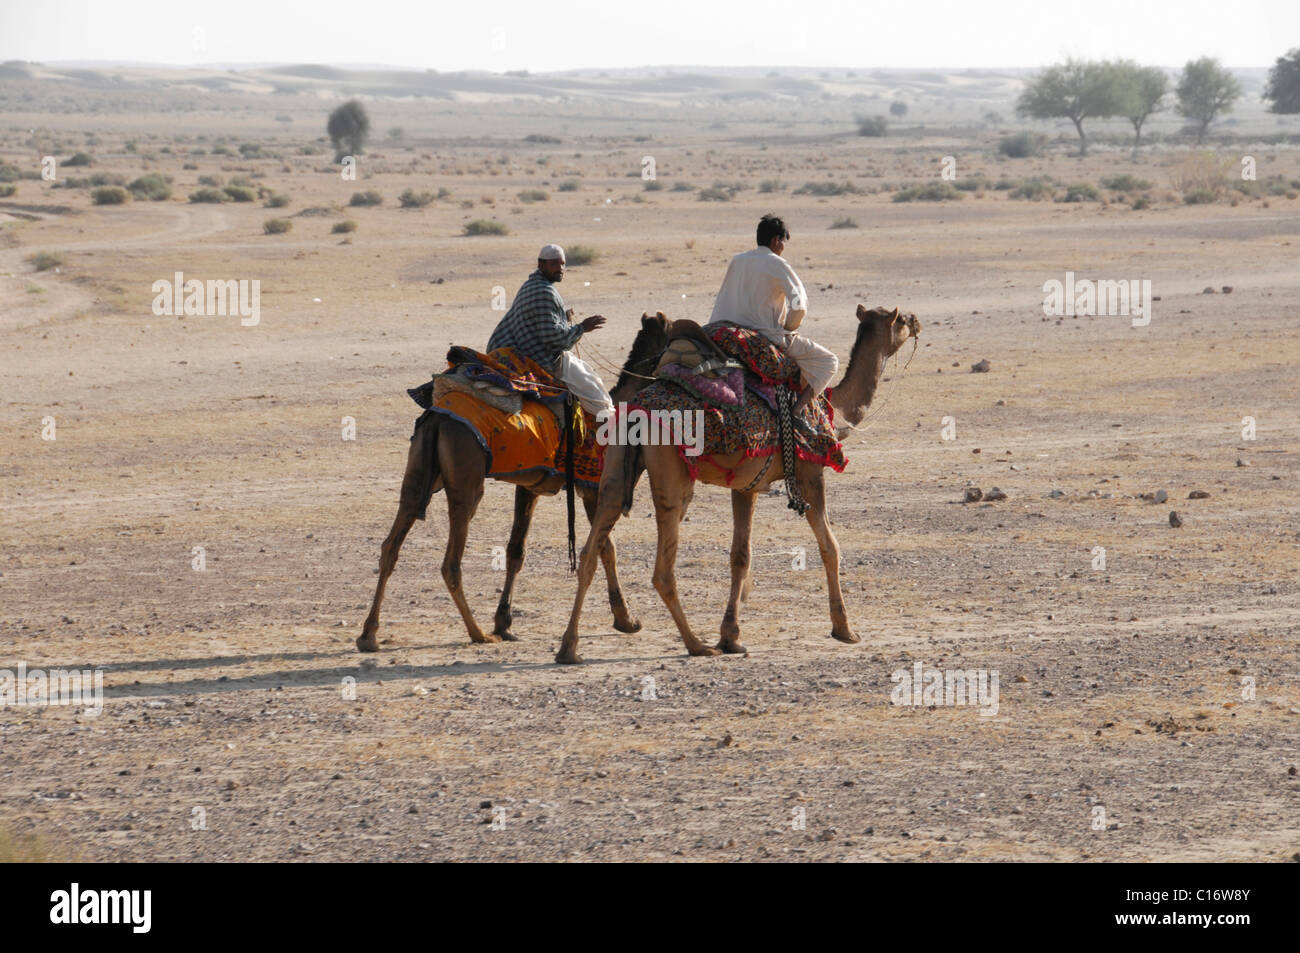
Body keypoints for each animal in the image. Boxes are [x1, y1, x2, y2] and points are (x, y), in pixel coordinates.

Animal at [358, 312, 675, 651]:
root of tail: (437, 419)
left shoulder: (529, 486)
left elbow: (515, 551)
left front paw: (504, 622)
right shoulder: (592, 486)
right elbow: (607, 549)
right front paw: (626, 619)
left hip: (419, 474)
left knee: (390, 547)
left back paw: (368, 635)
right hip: (467, 484)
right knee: (450, 562)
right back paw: (477, 633)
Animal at [556, 304, 921, 664]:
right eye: (901, 320)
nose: (916, 322)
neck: (836, 411)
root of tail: (636, 409)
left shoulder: (746, 485)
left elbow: (740, 555)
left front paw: (731, 636)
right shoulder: (810, 472)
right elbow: (830, 547)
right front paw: (845, 629)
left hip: (613, 473)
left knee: (590, 553)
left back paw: (569, 647)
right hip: (674, 479)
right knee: (662, 569)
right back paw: (697, 645)